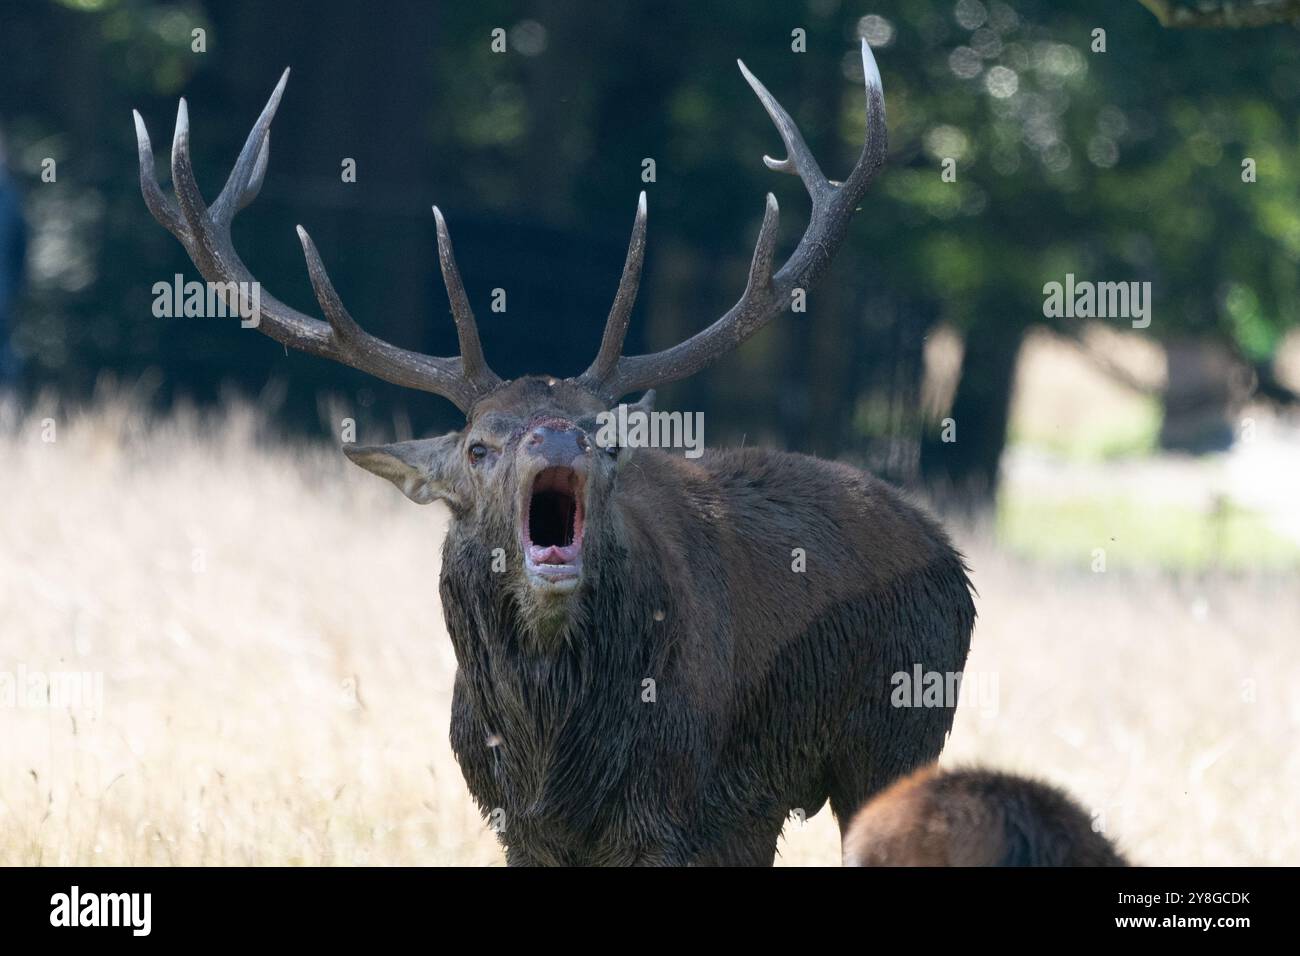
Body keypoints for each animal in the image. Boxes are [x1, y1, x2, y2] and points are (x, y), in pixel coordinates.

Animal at [133, 41, 976, 866]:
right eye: (479, 446)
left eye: (608, 437)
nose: (559, 437)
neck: (552, 750)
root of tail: (948, 552)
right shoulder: (517, 822)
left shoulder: (694, 812)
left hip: (897, 731)